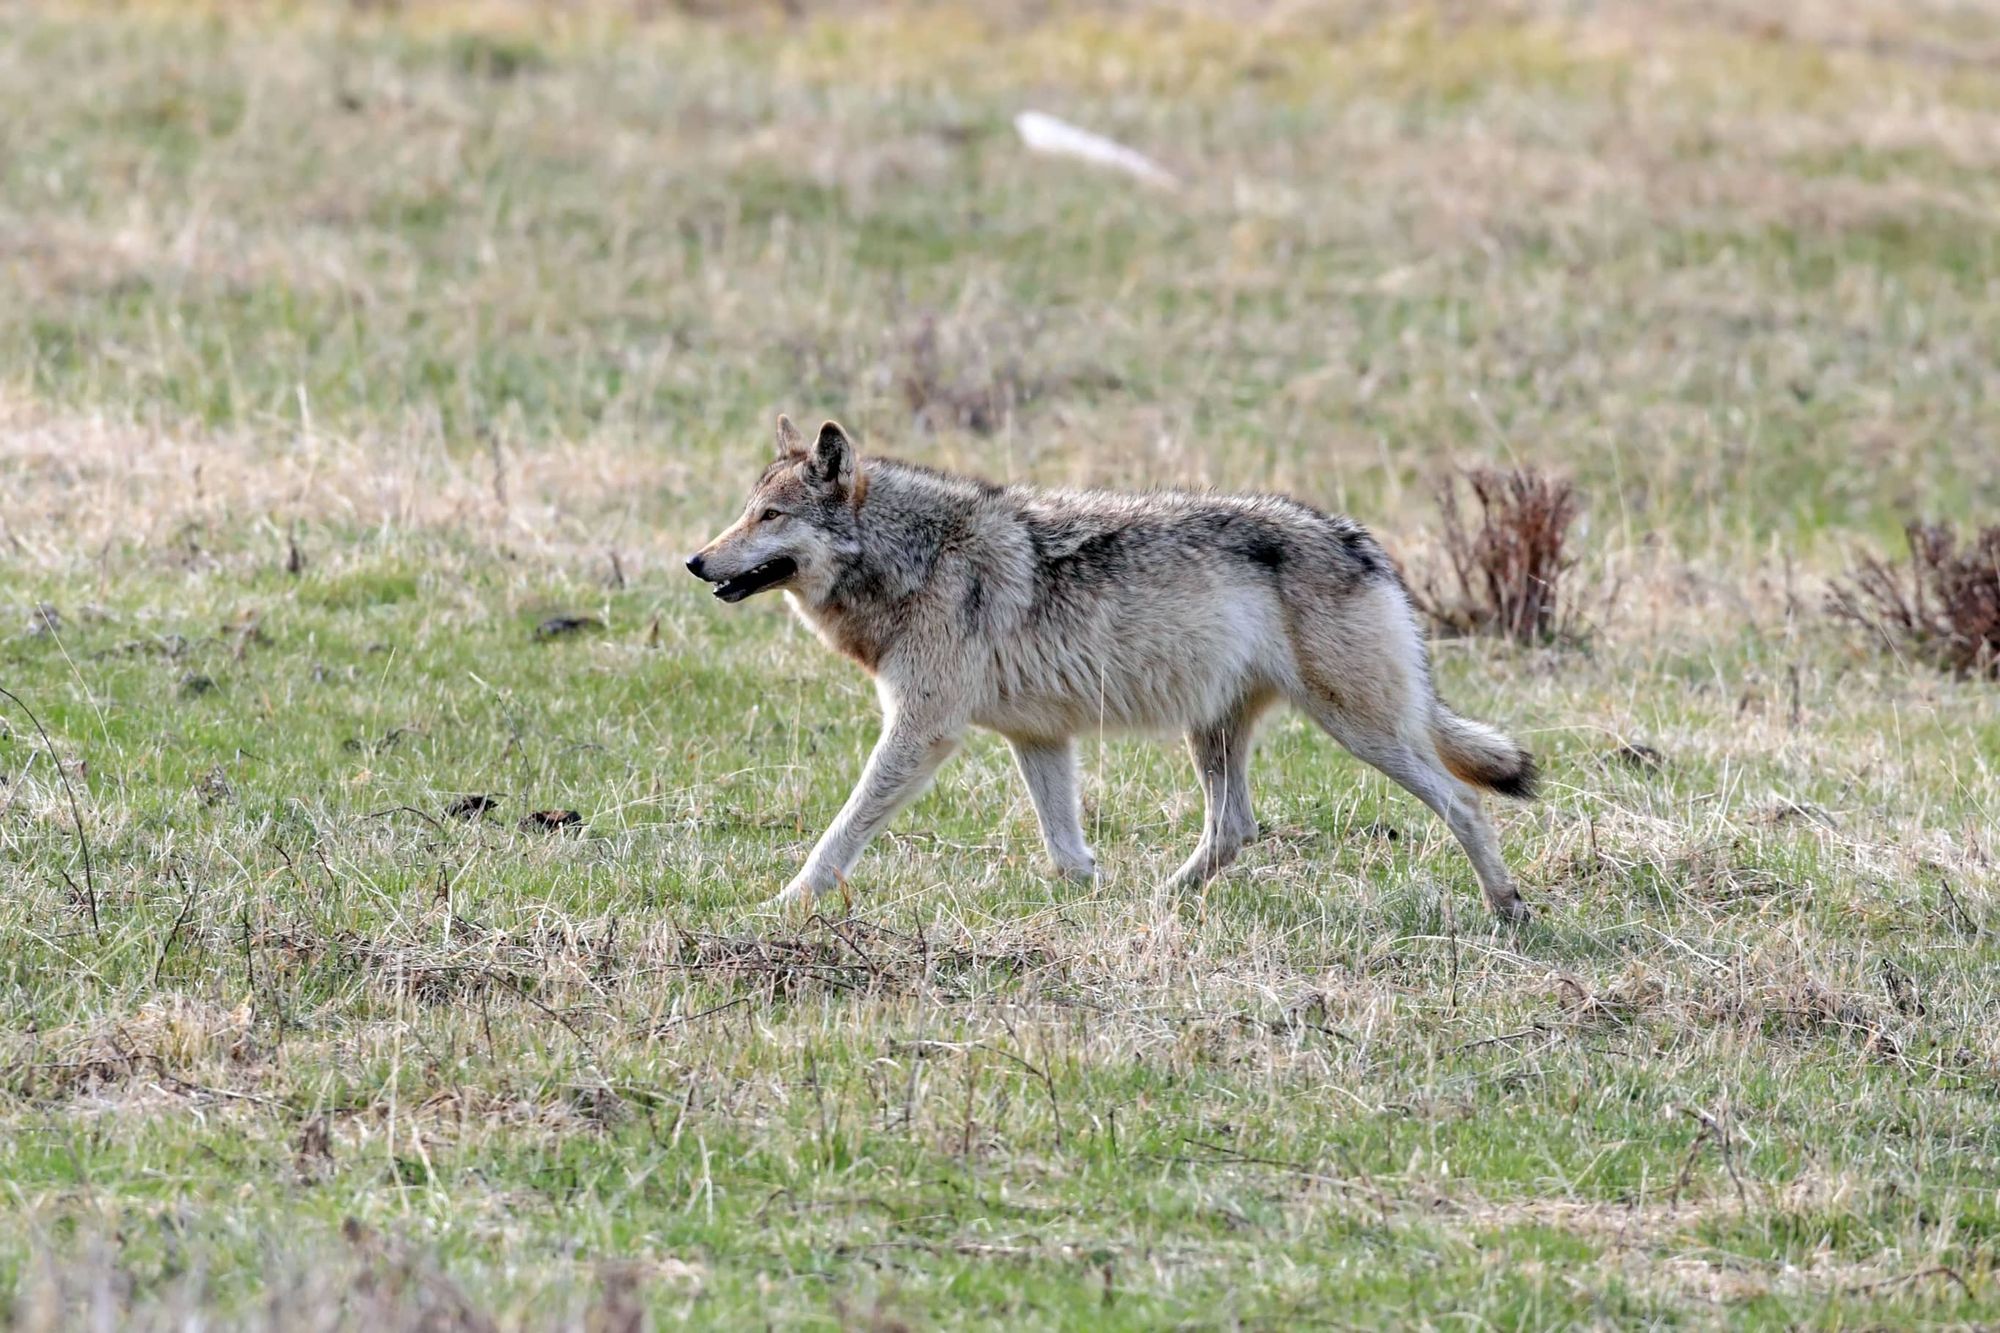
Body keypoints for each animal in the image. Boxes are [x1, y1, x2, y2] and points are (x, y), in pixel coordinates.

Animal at [687, 416, 1540, 919]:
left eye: (770, 516)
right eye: (743, 511)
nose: (695, 561)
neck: (919, 558)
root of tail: (1366, 542)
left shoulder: (923, 730)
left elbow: (839, 833)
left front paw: (784, 902)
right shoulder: (1038, 737)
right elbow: (1068, 853)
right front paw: (1091, 905)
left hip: (1359, 729)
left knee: (1464, 803)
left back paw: (1508, 908)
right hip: (1215, 733)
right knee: (1235, 827)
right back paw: (1160, 899)